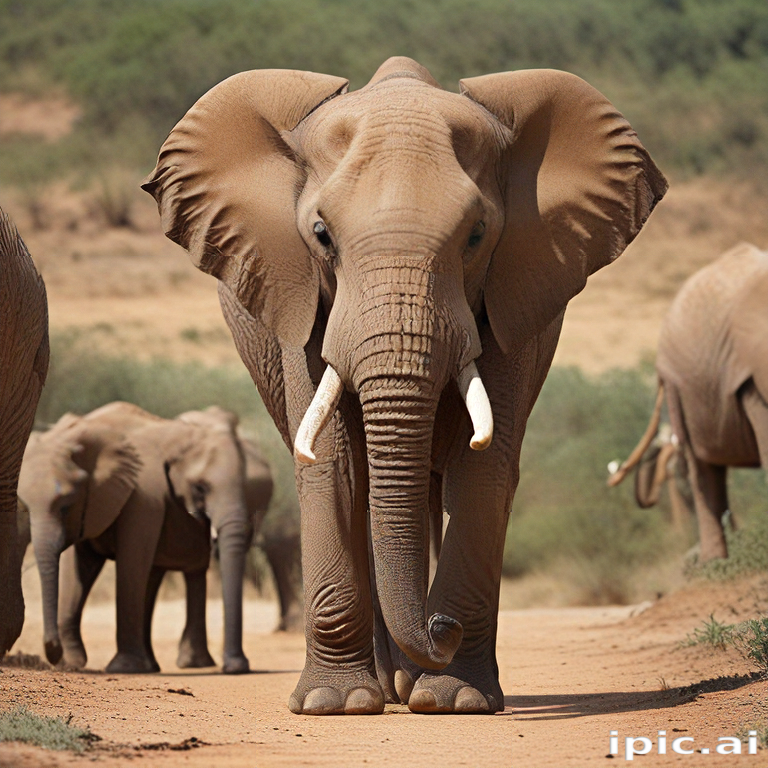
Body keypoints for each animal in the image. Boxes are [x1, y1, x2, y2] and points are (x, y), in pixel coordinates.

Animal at [18, 401, 254, 673]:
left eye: (65, 506)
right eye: (200, 488)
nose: (236, 667)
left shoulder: (144, 498)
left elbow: (129, 562)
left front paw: (122, 667)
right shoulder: (126, 496)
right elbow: (78, 568)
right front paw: (73, 663)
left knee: (186, 570)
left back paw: (189, 665)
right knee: (155, 575)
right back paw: (154, 666)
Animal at [143, 57, 667, 714]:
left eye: (477, 235)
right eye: (321, 235)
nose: (443, 629)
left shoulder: (517, 293)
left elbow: (486, 464)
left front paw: (457, 698)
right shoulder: (298, 295)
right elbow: (334, 463)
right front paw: (334, 704)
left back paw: (410, 684)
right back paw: (386, 687)